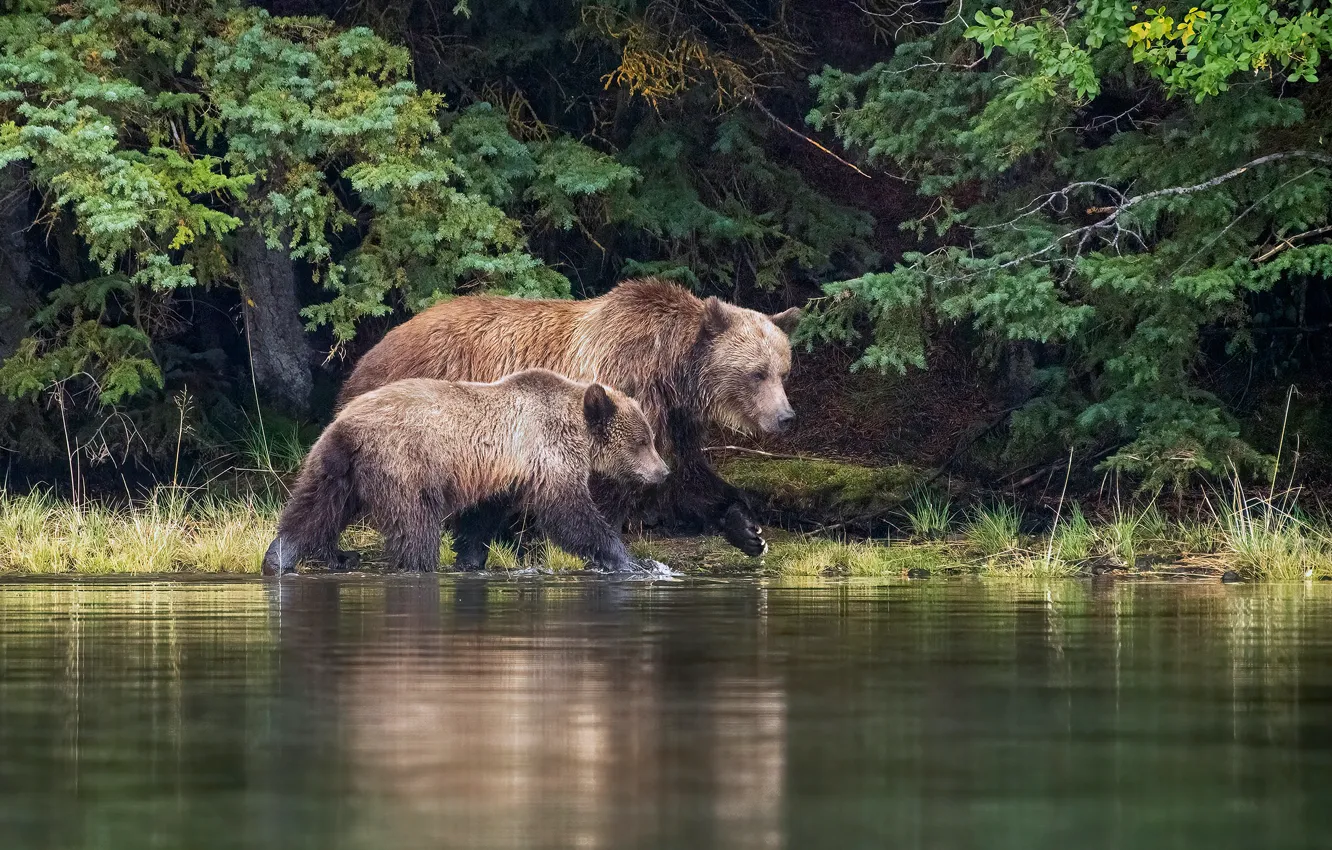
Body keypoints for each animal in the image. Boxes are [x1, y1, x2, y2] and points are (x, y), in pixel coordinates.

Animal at [261, 369, 670, 576]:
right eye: (643, 441)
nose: (664, 472)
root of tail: (346, 425)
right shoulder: (547, 452)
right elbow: (569, 512)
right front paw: (629, 560)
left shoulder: (502, 475)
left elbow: (480, 519)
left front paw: (471, 560)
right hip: (404, 463)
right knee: (415, 524)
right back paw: (417, 565)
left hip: (334, 465)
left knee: (314, 510)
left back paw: (281, 557)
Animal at [336, 278, 800, 570]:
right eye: (757, 373)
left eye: (784, 370)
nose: (785, 417)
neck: (672, 369)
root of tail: (365, 357)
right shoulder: (622, 392)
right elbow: (608, 488)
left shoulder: (676, 419)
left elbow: (688, 475)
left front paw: (748, 529)